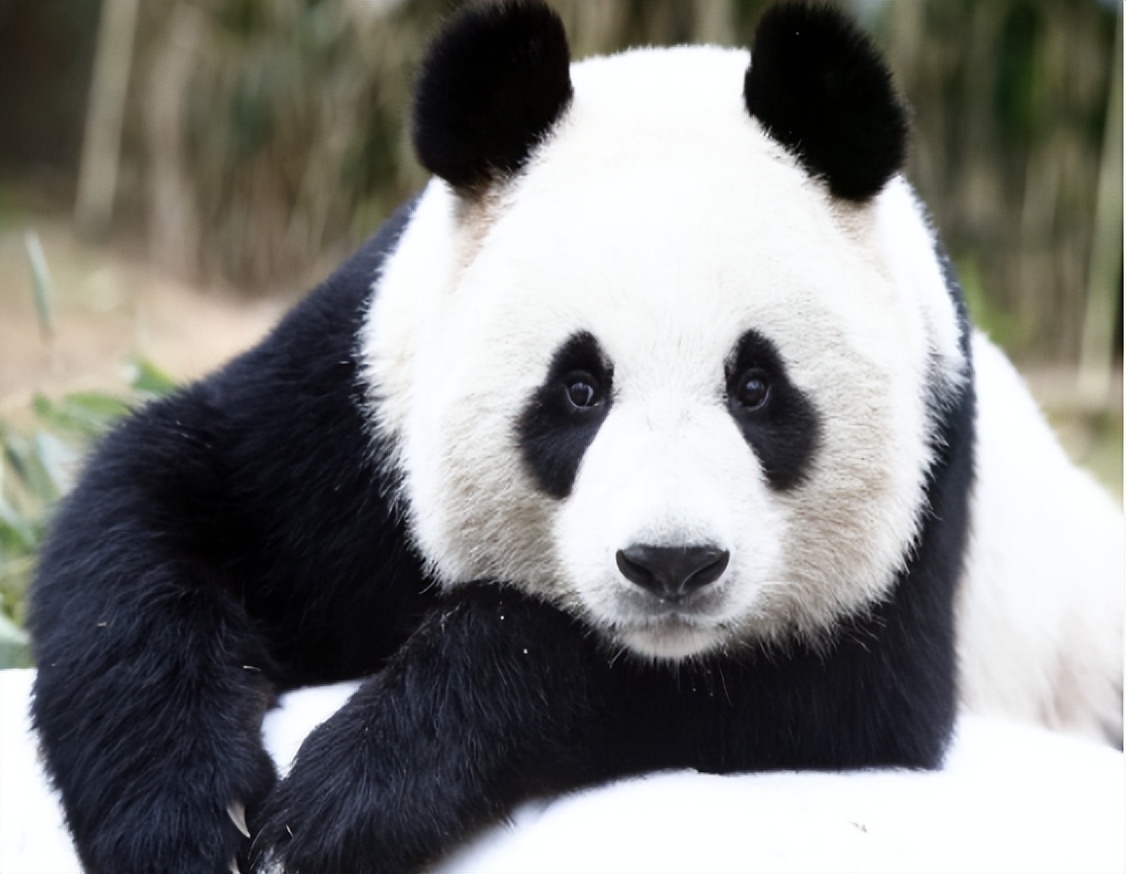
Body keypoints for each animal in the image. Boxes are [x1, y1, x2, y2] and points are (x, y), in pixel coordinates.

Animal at [27, 2, 1123, 874]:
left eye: (757, 389)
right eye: (579, 389)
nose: (672, 565)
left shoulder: (925, 491)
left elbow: (810, 693)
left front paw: (346, 800)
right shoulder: (355, 412)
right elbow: (155, 509)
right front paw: (184, 819)